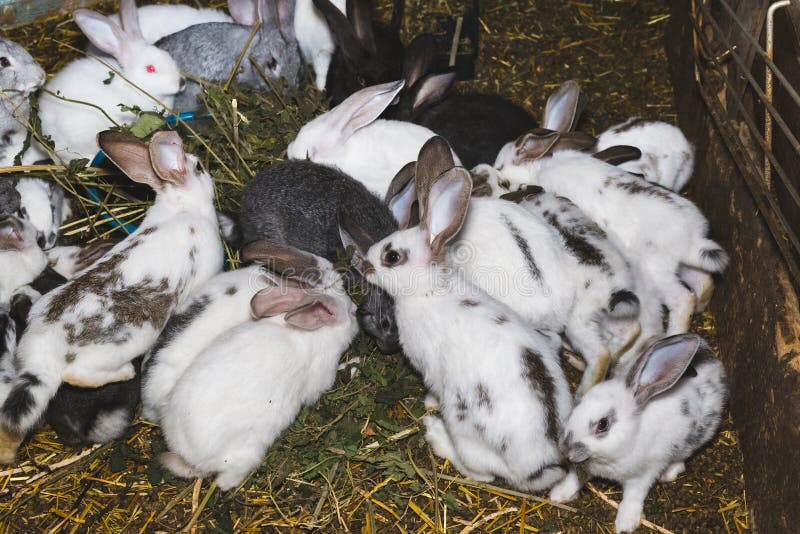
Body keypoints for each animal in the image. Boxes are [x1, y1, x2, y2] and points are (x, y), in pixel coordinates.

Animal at [0, 130, 223, 464]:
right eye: (198, 168)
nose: (207, 171)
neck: (184, 207)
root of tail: (41, 352)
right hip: (123, 345)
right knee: (79, 375)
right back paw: (126, 371)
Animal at [159, 240, 358, 491]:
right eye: (349, 313)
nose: (356, 309)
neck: (309, 331)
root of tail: (190, 455)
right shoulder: (320, 380)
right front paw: (353, 366)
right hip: (245, 454)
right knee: (225, 481)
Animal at [343, 138, 572, 491]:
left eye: (392, 256)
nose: (363, 263)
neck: (428, 290)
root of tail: (541, 464)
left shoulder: (428, 366)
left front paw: (428, 402)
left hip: (467, 431)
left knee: (483, 473)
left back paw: (436, 434)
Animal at [549, 334, 727, 533]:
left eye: (603, 424)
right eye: (577, 404)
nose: (566, 450)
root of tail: (713, 362)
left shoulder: (644, 475)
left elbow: (633, 497)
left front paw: (625, 524)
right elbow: (574, 479)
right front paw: (558, 494)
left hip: (694, 438)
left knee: (682, 459)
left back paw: (668, 474)